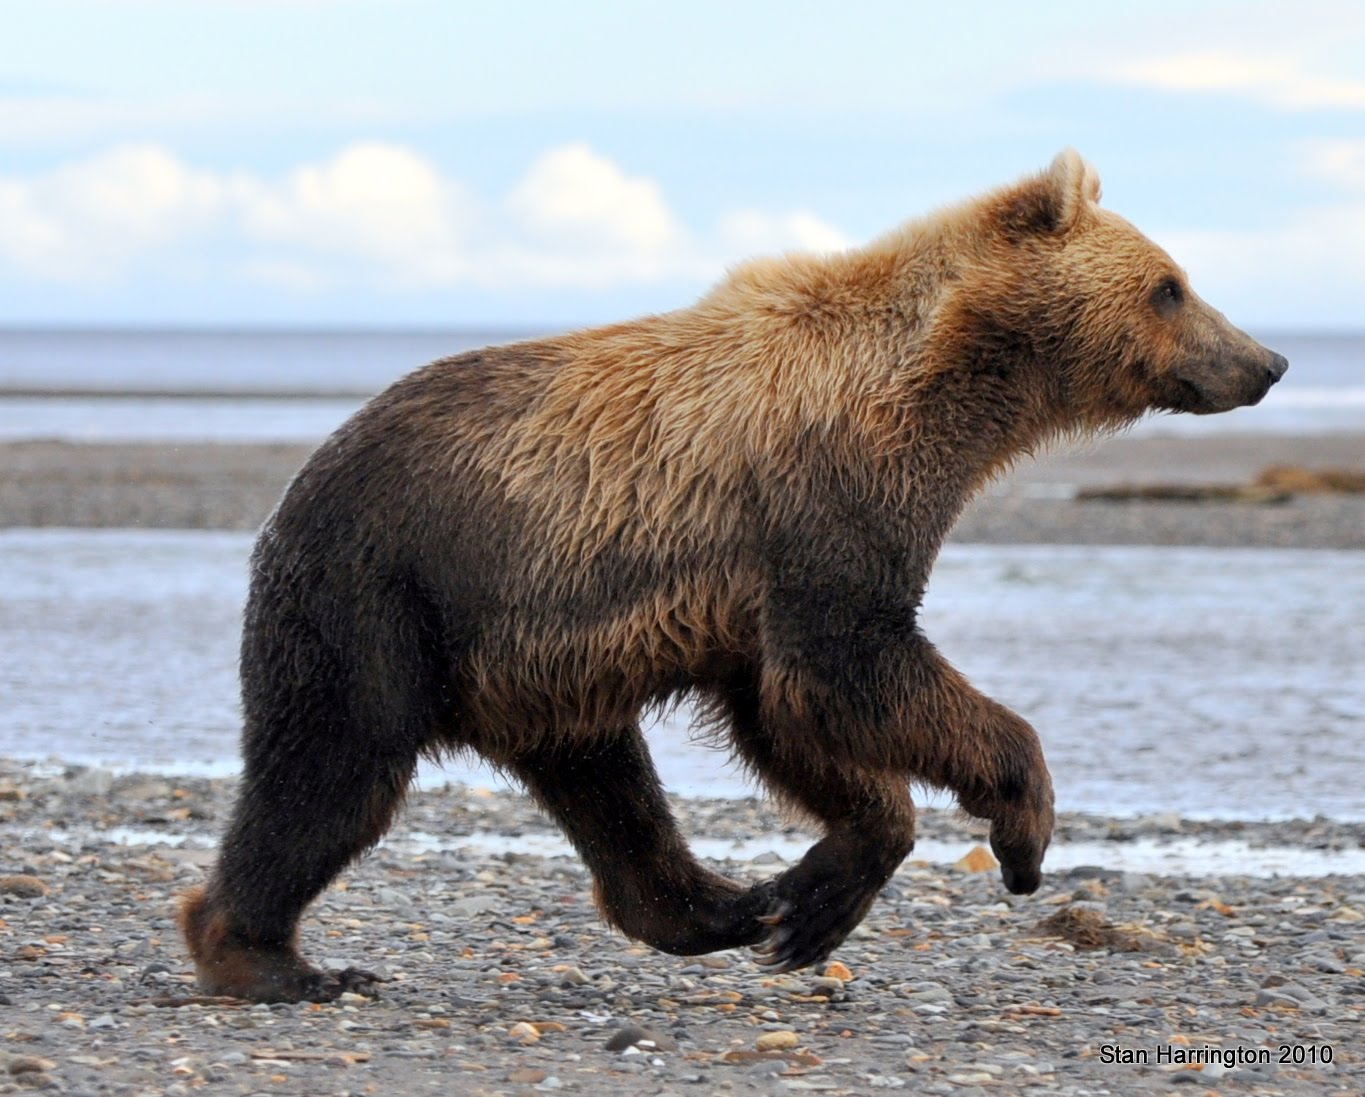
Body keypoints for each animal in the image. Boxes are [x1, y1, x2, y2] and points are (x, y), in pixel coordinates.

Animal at [180, 150, 1287, 1002]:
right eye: (1171, 284)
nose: (1265, 359)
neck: (943, 389)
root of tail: (301, 480)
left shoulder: (755, 580)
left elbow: (791, 707)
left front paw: (815, 892)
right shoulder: (825, 500)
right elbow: (850, 667)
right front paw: (1019, 827)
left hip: (536, 657)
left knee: (609, 785)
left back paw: (728, 903)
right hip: (384, 590)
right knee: (336, 767)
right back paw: (272, 957)